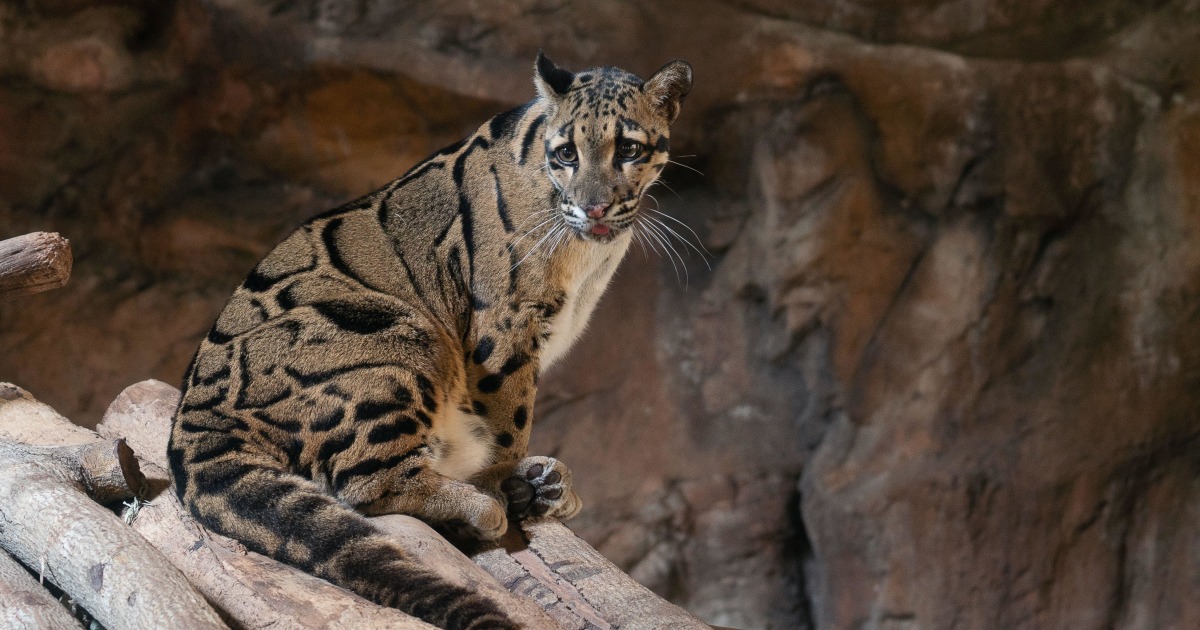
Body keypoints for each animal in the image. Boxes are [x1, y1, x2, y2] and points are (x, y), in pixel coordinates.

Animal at [167, 52, 692, 630]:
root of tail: (190, 420)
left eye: (629, 149)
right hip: (397, 335)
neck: (588, 252)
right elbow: (510, 421)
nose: (594, 208)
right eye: (566, 154)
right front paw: (504, 480)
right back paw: (486, 504)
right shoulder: (503, 328)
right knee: (365, 485)